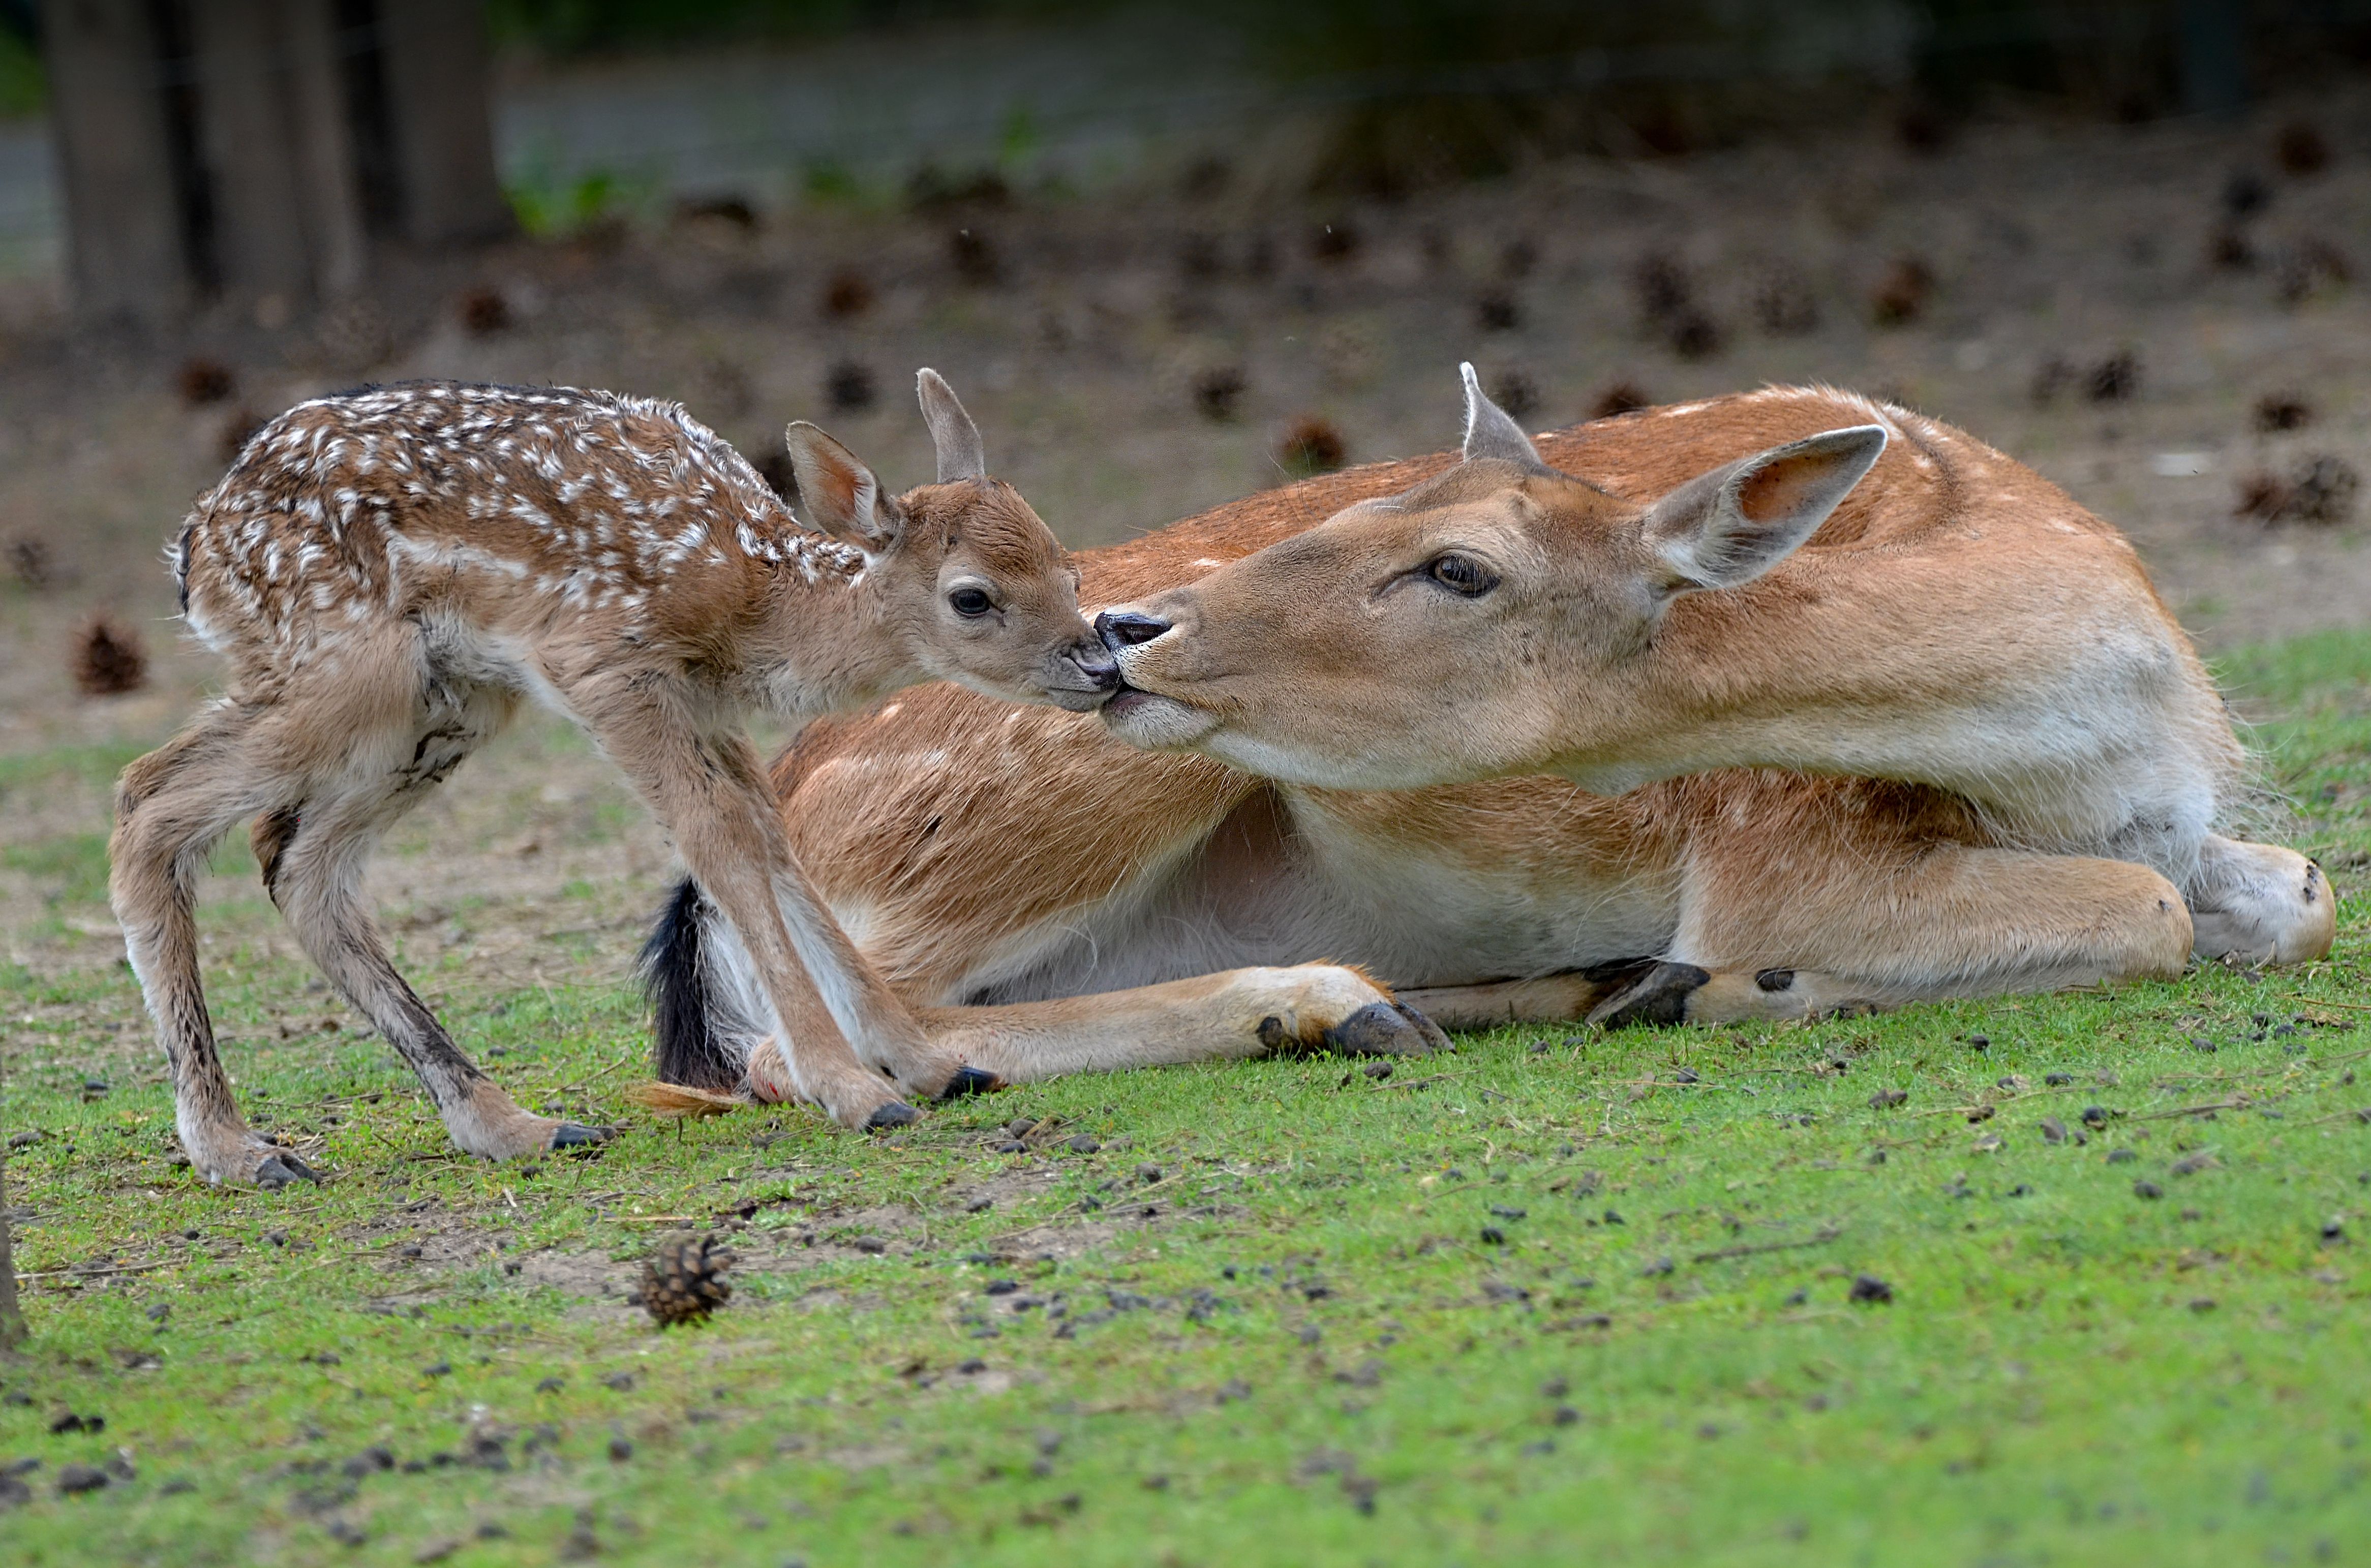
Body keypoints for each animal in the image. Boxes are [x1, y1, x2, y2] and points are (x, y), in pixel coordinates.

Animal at [110, 370, 1155, 1188]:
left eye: (1065, 567)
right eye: (972, 597)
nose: (1100, 665)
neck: (749, 603)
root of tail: (193, 550)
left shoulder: (706, 705)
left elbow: (774, 846)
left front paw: (927, 1066)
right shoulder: (607, 669)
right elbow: (719, 848)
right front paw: (856, 1092)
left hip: (444, 705)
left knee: (296, 863)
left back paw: (514, 1127)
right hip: (343, 672)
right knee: (147, 798)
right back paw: (239, 1151)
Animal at [640, 366, 2333, 1099]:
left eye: (1453, 560)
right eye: (1355, 506)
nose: (1130, 631)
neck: (2101, 742)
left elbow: (2300, 893)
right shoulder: (1777, 848)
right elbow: (2149, 911)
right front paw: (1760, 982)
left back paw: (1553, 985)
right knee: (834, 1037)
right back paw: (1332, 1003)